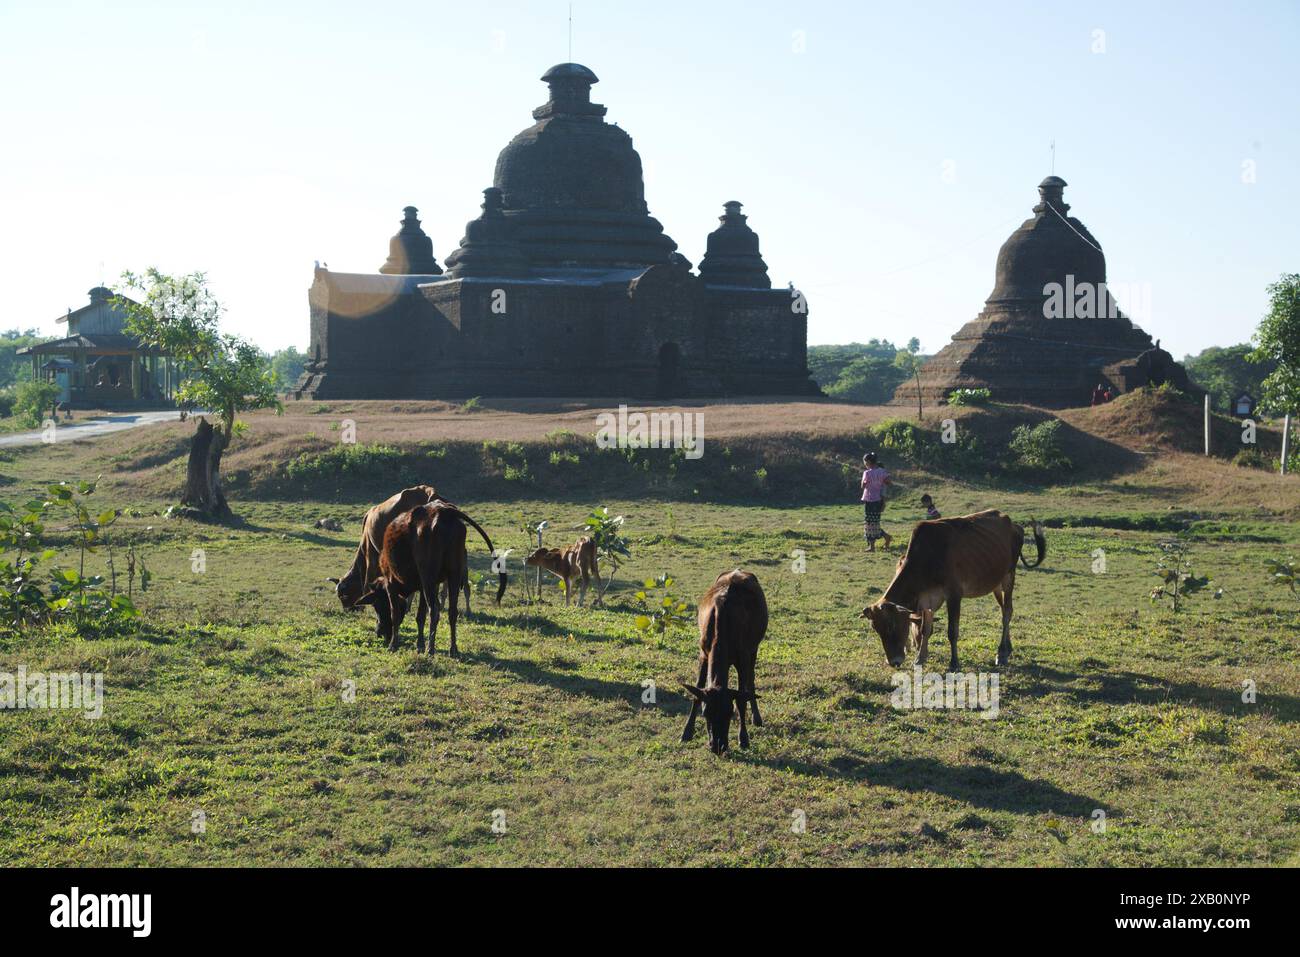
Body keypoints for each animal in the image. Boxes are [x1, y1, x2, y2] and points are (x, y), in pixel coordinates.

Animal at [354, 502, 507, 655]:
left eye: (377, 605)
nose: (379, 632)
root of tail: (444, 511)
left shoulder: (391, 584)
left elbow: (395, 614)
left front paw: (394, 644)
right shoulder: (422, 586)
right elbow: (420, 616)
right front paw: (420, 644)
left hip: (429, 577)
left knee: (434, 610)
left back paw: (431, 648)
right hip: (453, 574)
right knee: (452, 611)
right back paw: (453, 649)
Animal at [681, 570, 767, 755]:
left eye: (729, 713)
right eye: (706, 713)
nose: (718, 746)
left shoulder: (743, 656)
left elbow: (741, 699)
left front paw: (744, 739)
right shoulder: (703, 653)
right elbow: (697, 690)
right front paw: (687, 732)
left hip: (754, 648)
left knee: (751, 680)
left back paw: (757, 718)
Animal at [860, 509, 1045, 670]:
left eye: (891, 625)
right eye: (876, 628)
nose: (894, 661)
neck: (927, 558)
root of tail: (1014, 525)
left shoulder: (954, 595)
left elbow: (952, 632)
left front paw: (954, 663)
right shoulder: (927, 599)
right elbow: (925, 629)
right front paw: (919, 659)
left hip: (1009, 577)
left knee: (1007, 612)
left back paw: (1002, 653)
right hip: (996, 584)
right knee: (1005, 609)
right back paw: (1009, 646)